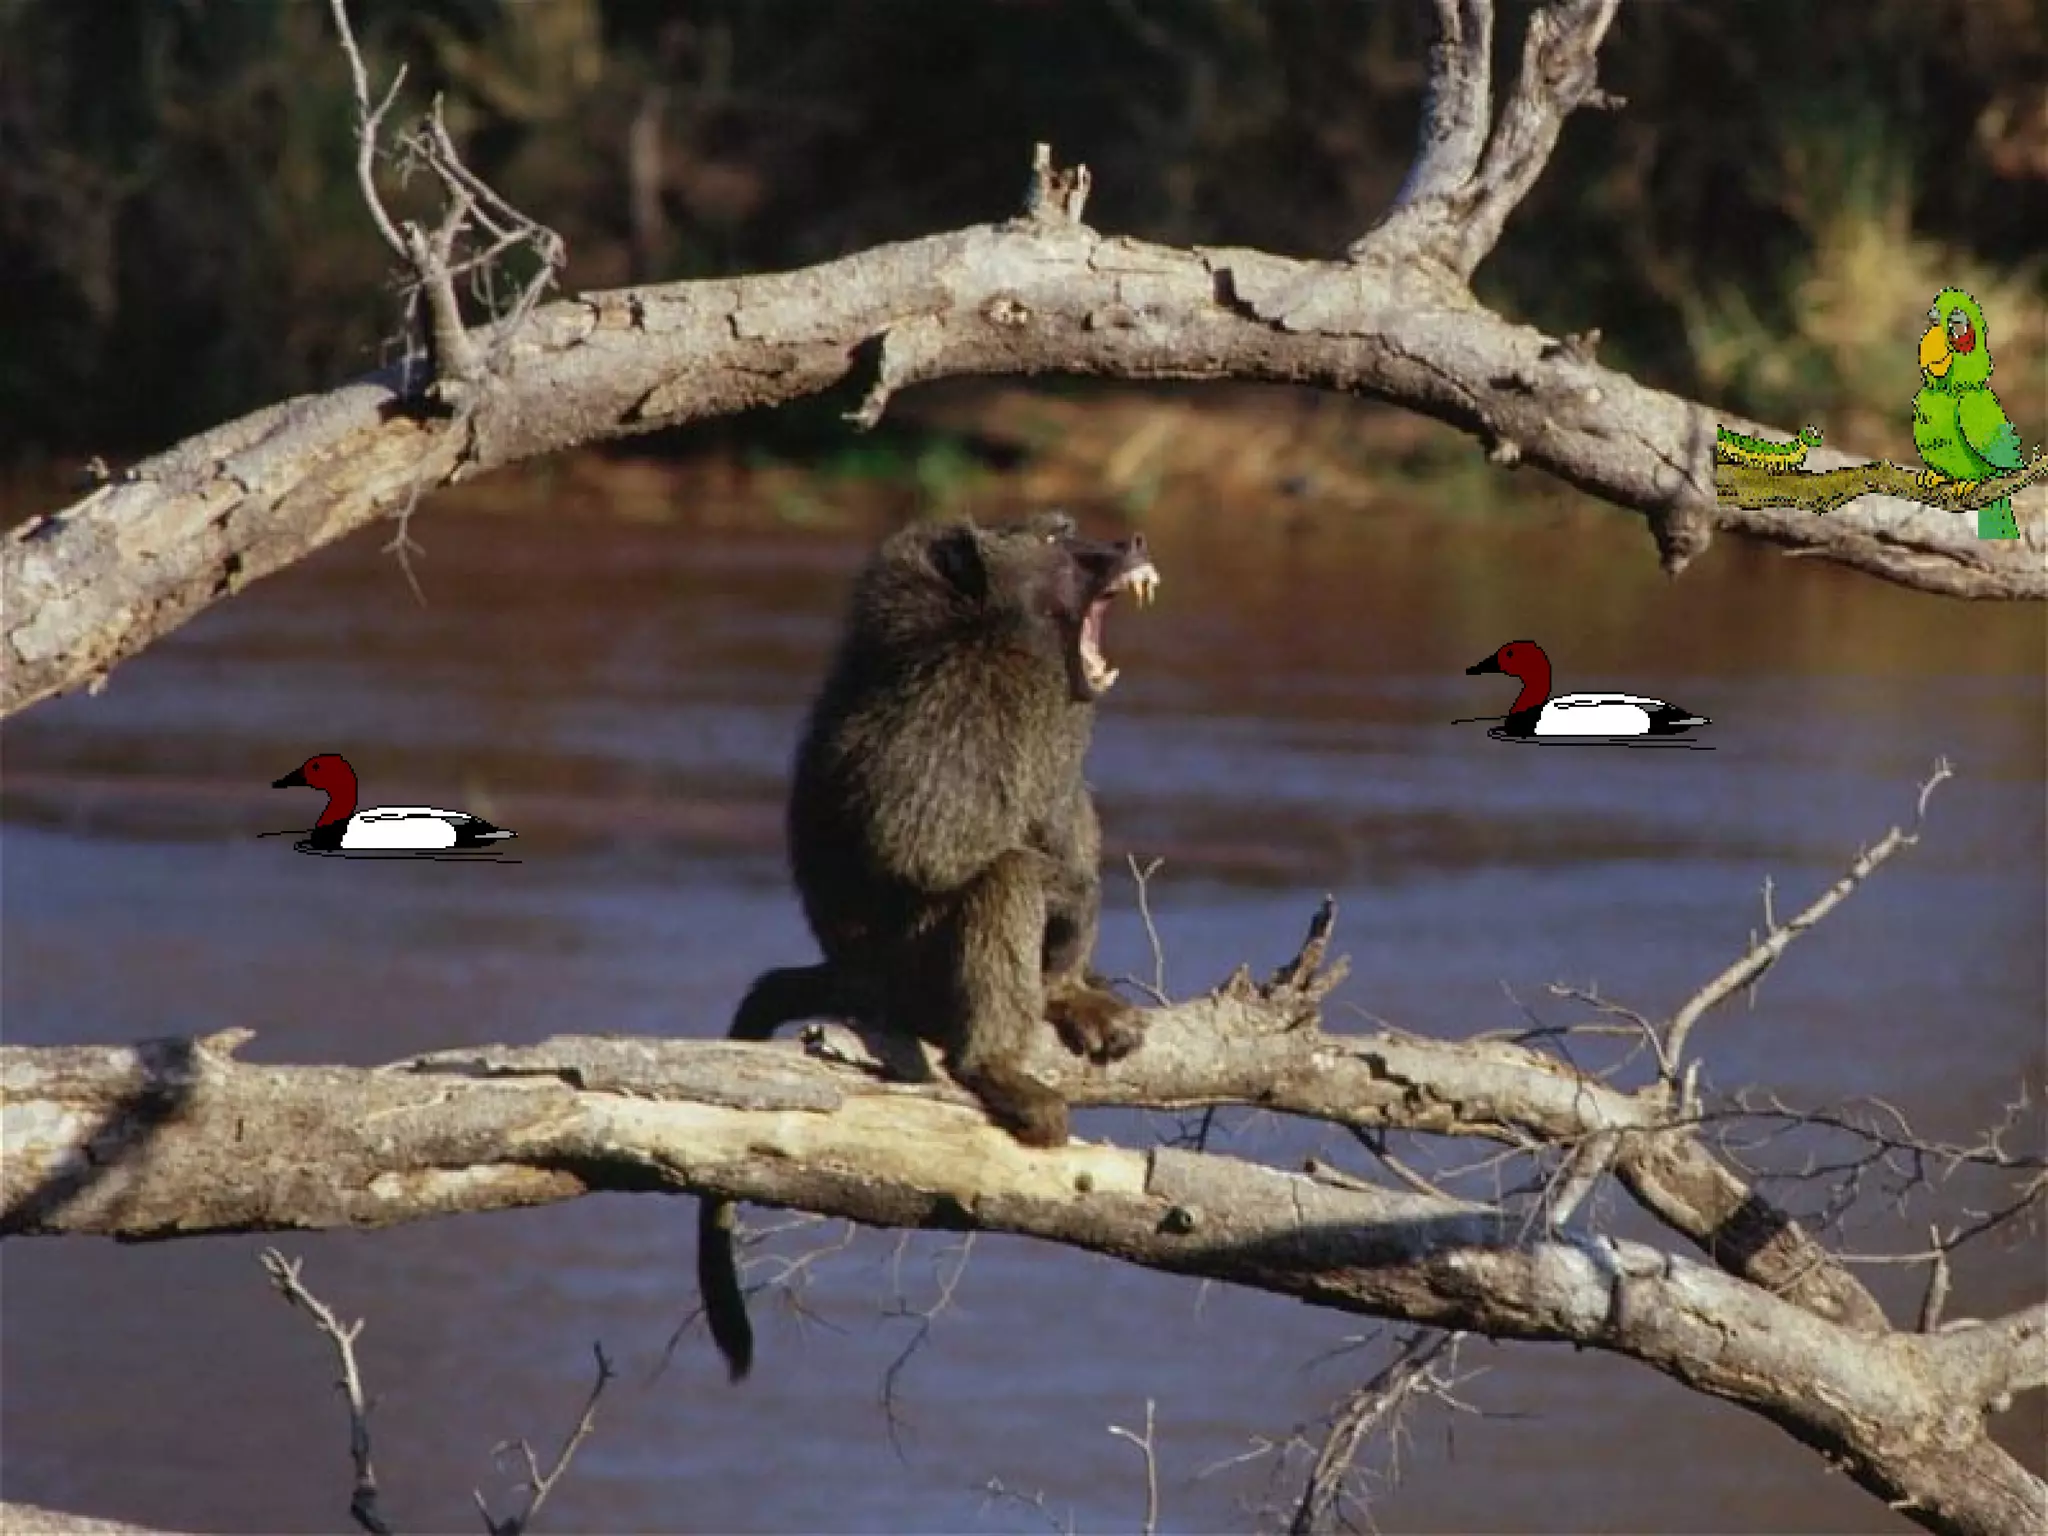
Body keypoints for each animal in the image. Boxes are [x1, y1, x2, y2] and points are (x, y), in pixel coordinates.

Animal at [698, 510, 1162, 1381]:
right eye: (1057, 540)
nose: (1132, 544)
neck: (988, 628)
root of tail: (847, 973)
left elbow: (1059, 816)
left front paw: (1071, 980)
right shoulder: (962, 697)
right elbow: (925, 844)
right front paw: (1065, 903)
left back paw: (1063, 995)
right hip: (907, 973)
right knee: (1004, 877)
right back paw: (995, 1066)